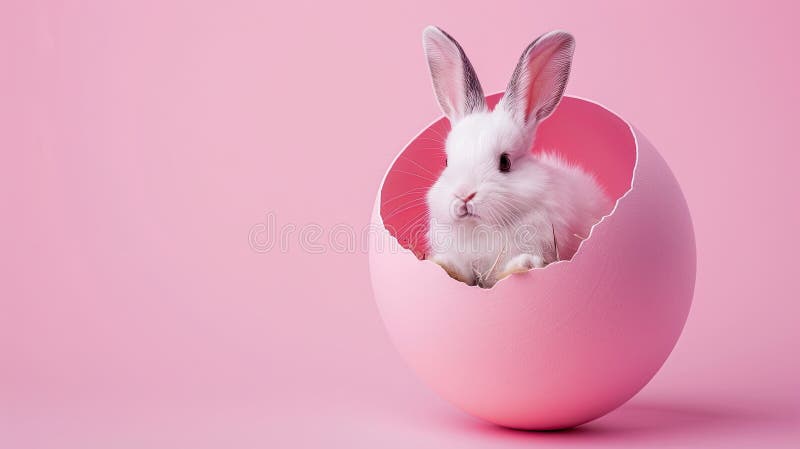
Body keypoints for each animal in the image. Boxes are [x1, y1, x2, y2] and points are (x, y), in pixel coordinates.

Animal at [422, 26, 612, 288]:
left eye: (505, 162)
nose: (464, 195)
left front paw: (524, 264)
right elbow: (459, 272)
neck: (481, 228)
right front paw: (440, 263)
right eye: (447, 162)